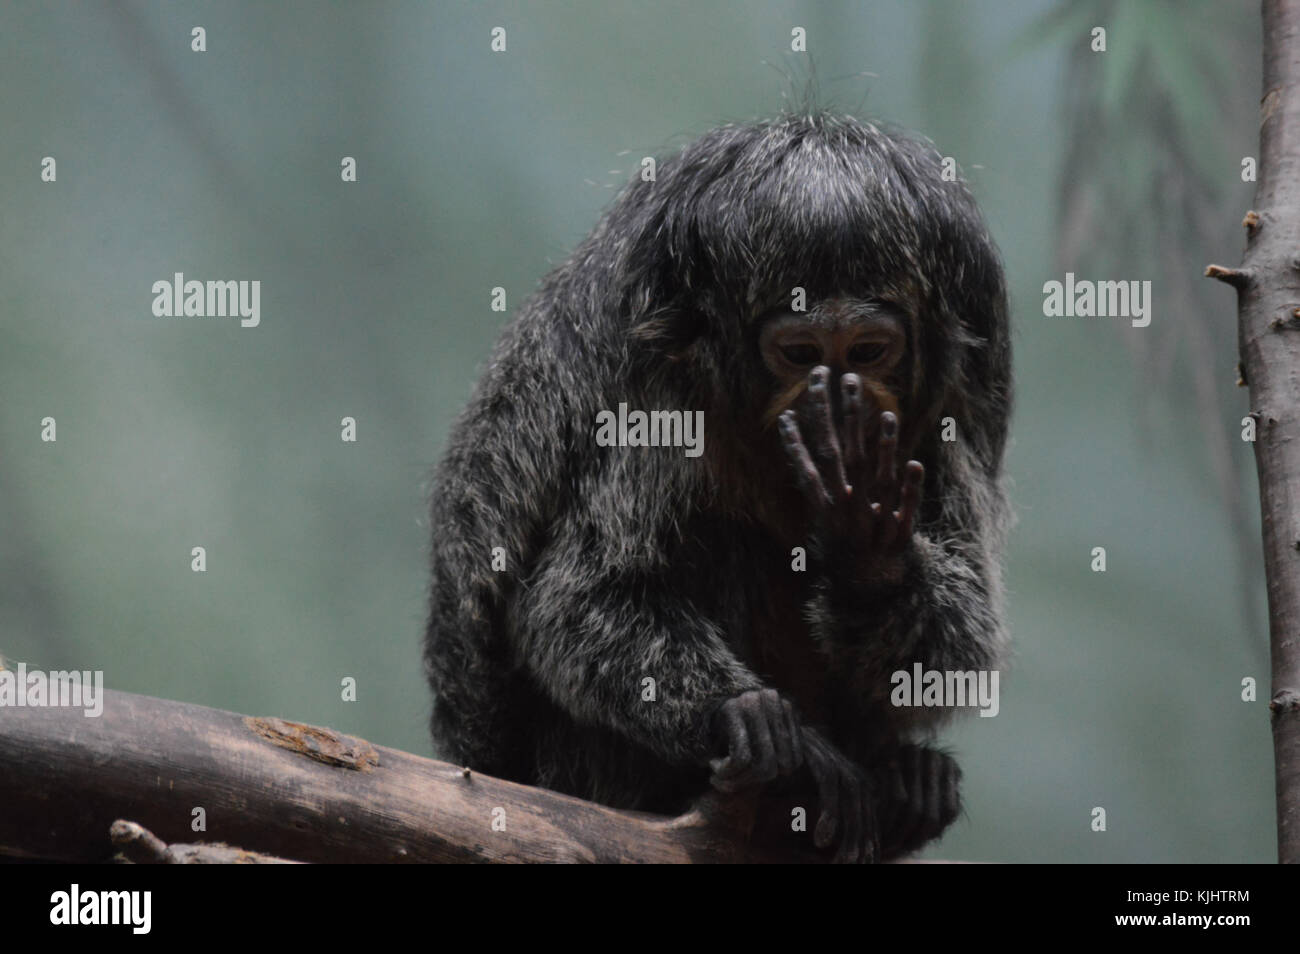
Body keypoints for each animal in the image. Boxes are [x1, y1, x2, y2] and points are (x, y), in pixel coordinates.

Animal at [423, 111, 1012, 863]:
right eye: (799, 353)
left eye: (869, 351)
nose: (836, 392)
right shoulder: (662, 394)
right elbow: (578, 598)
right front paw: (757, 728)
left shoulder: (954, 399)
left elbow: (960, 640)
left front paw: (868, 554)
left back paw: (909, 783)